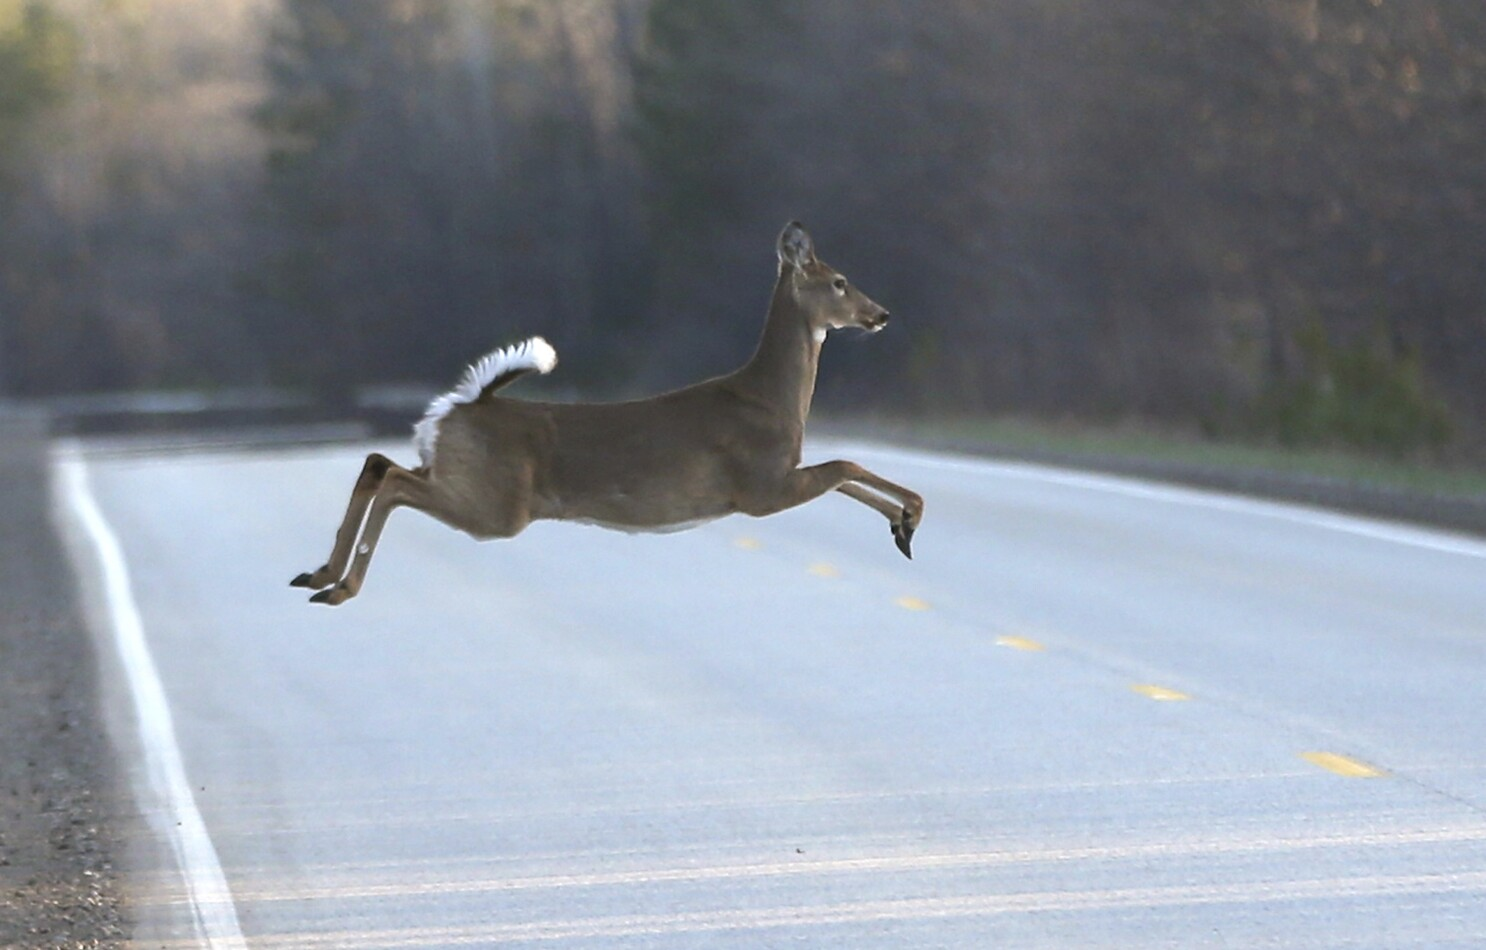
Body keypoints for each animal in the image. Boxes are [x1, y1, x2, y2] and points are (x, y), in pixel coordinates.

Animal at [291, 221, 924, 605]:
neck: (771, 399)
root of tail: (463, 405)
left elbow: (844, 474)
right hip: (498, 505)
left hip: (460, 475)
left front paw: (902, 528)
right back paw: (339, 587)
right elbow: (845, 466)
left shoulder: (778, 478)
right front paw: (911, 517)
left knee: (379, 463)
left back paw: (317, 574)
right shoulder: (760, 487)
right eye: (839, 281)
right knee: (394, 482)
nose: (883, 314)